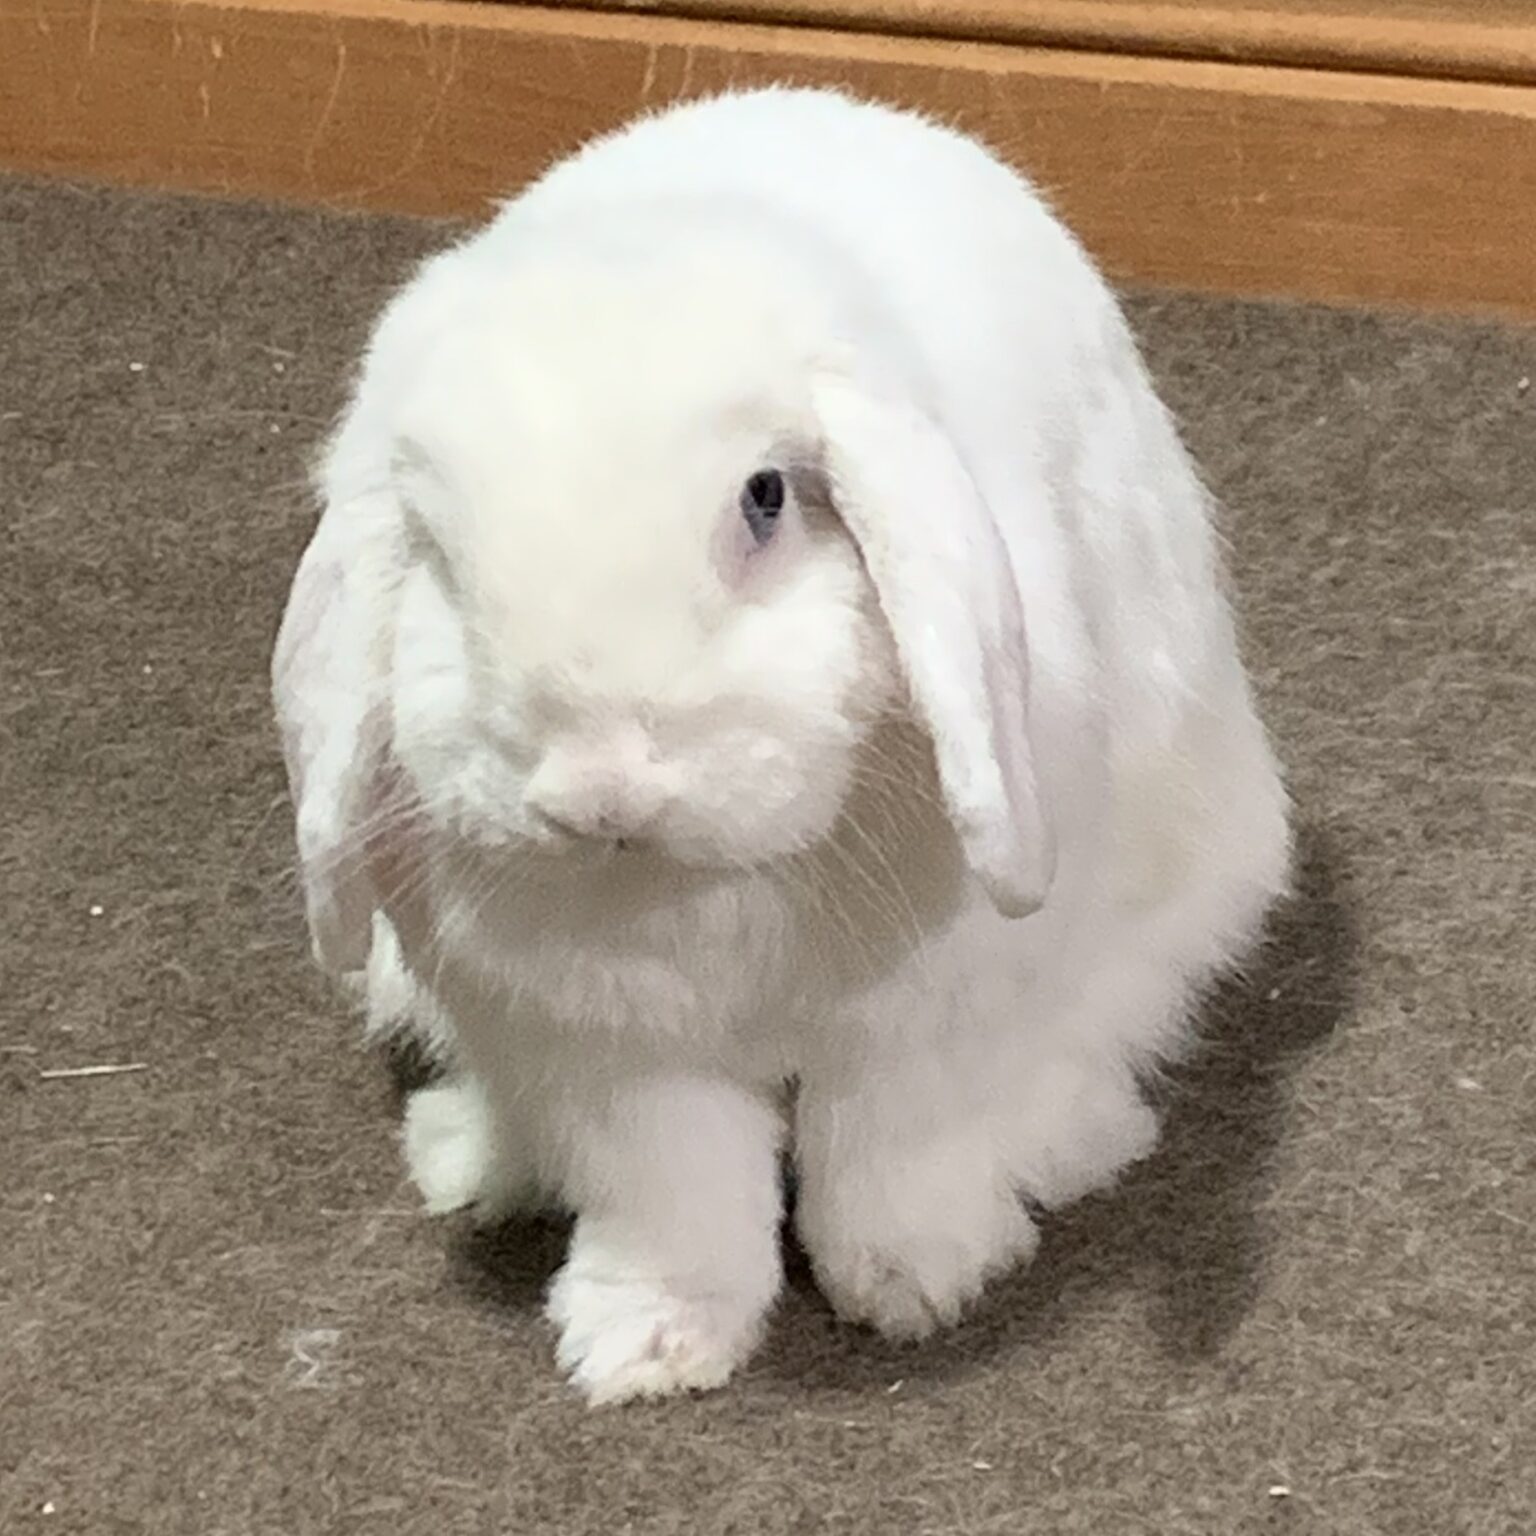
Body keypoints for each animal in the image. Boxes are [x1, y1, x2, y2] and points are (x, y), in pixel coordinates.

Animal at [272, 86, 1290, 1403]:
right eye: (437, 555)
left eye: (765, 498)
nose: (603, 791)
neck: (703, 888)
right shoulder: (597, 1048)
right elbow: (677, 1194)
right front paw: (646, 1347)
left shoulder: (933, 1012)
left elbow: (893, 1147)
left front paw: (917, 1282)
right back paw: (477, 1163)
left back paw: (1075, 1144)